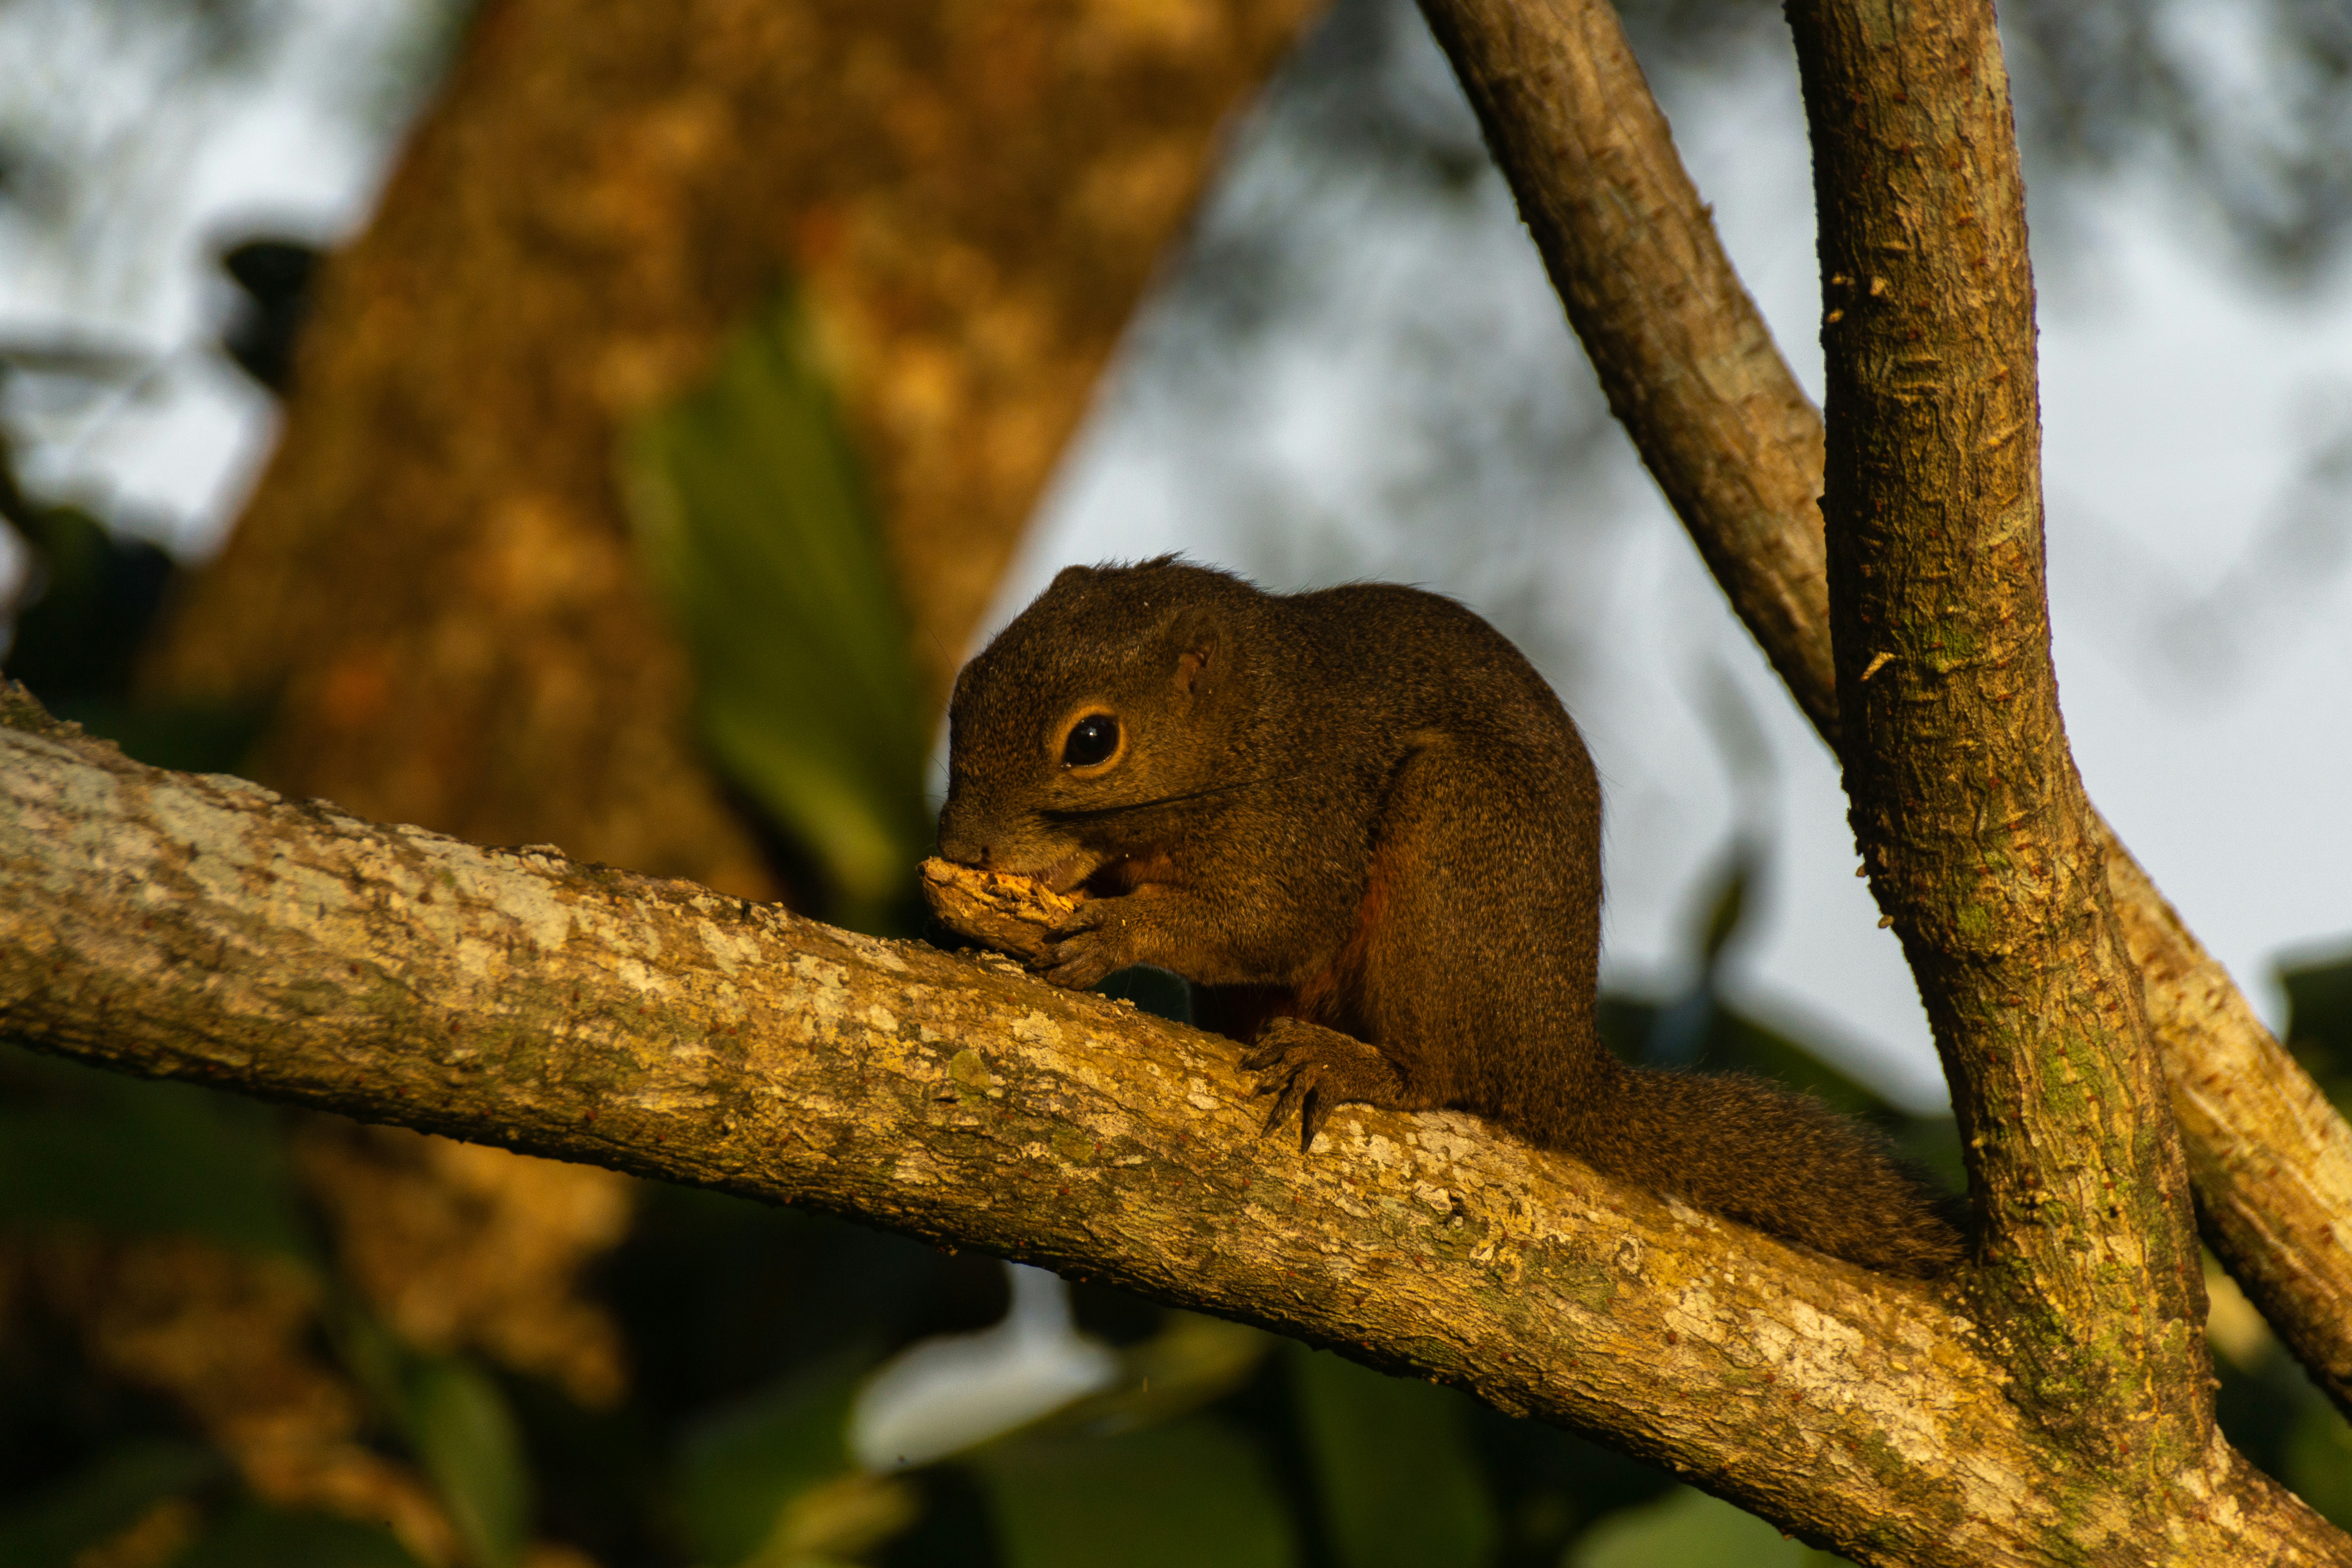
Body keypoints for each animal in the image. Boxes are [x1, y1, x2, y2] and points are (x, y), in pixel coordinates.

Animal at [935, 557, 1965, 1278]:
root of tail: (1554, 1063)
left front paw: (1118, 933)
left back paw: (1357, 1064)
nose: (960, 845)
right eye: (967, 684)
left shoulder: (1303, 815)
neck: (1247, 728)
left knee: (1442, 1076)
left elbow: (1277, 920)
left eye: (1092, 741)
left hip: (1453, 838)